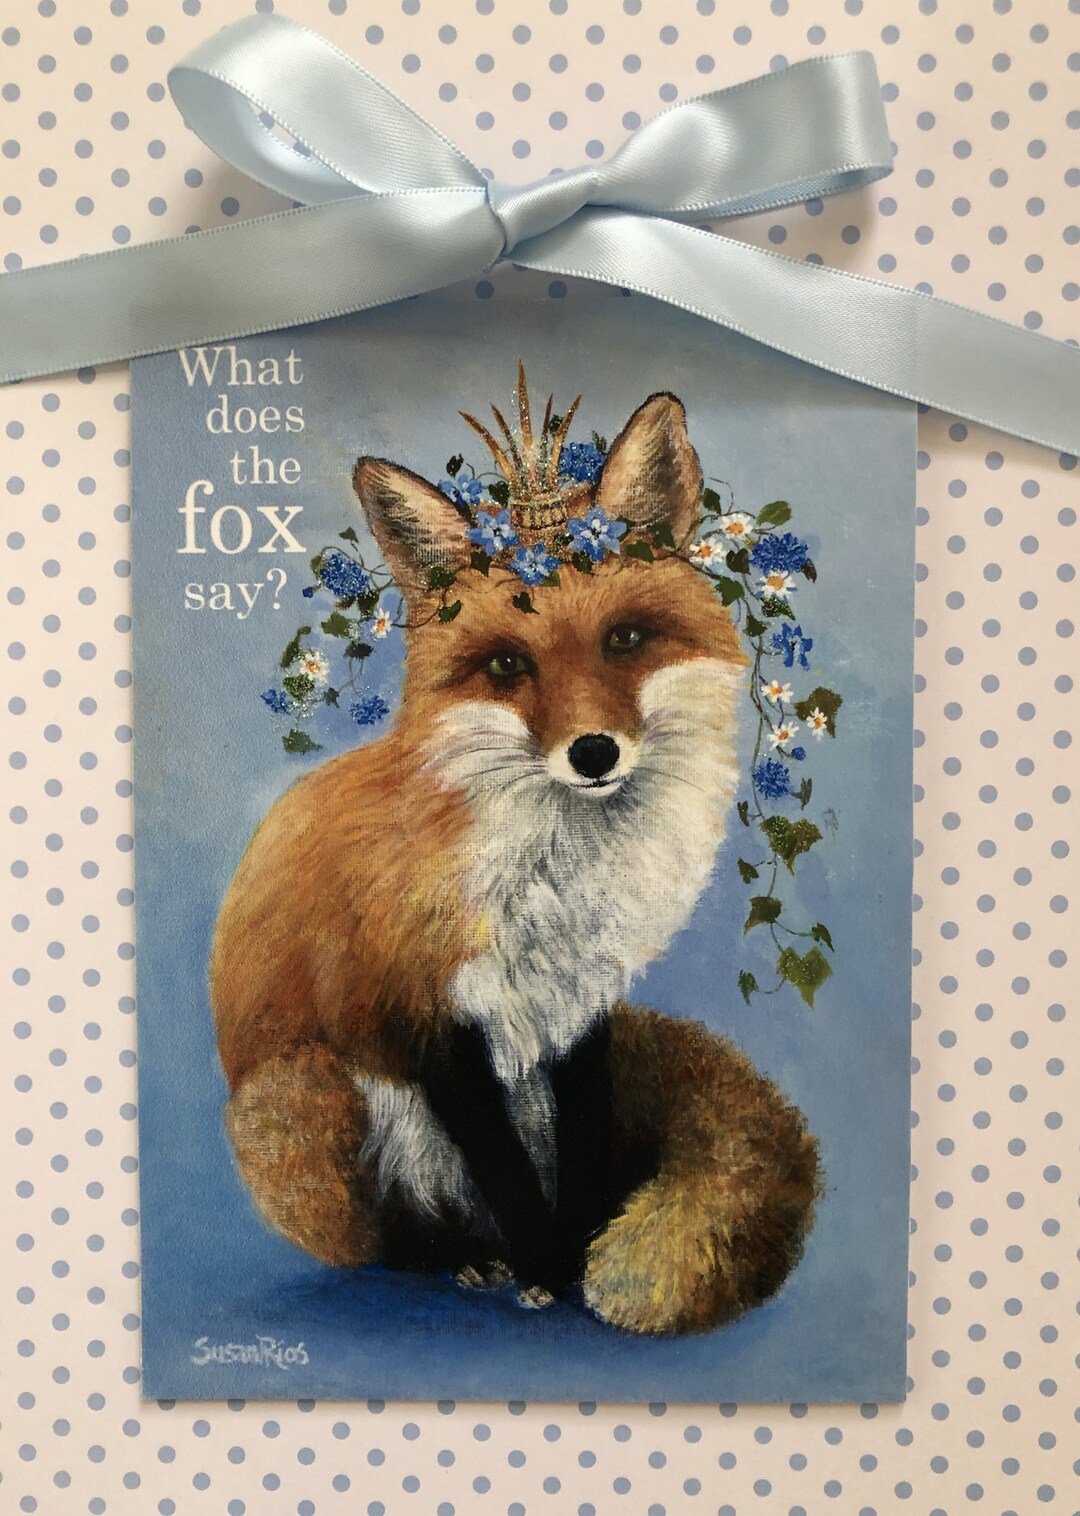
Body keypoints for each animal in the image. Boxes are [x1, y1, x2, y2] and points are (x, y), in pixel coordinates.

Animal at [210, 384, 820, 1335]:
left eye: (625, 640)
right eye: (506, 664)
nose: (595, 753)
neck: (558, 875)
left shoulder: (582, 1004)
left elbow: (583, 1146)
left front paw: (577, 1251)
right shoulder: (427, 1012)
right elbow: (502, 1168)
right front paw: (543, 1265)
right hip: (307, 1094)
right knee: (383, 1238)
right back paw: (461, 1256)